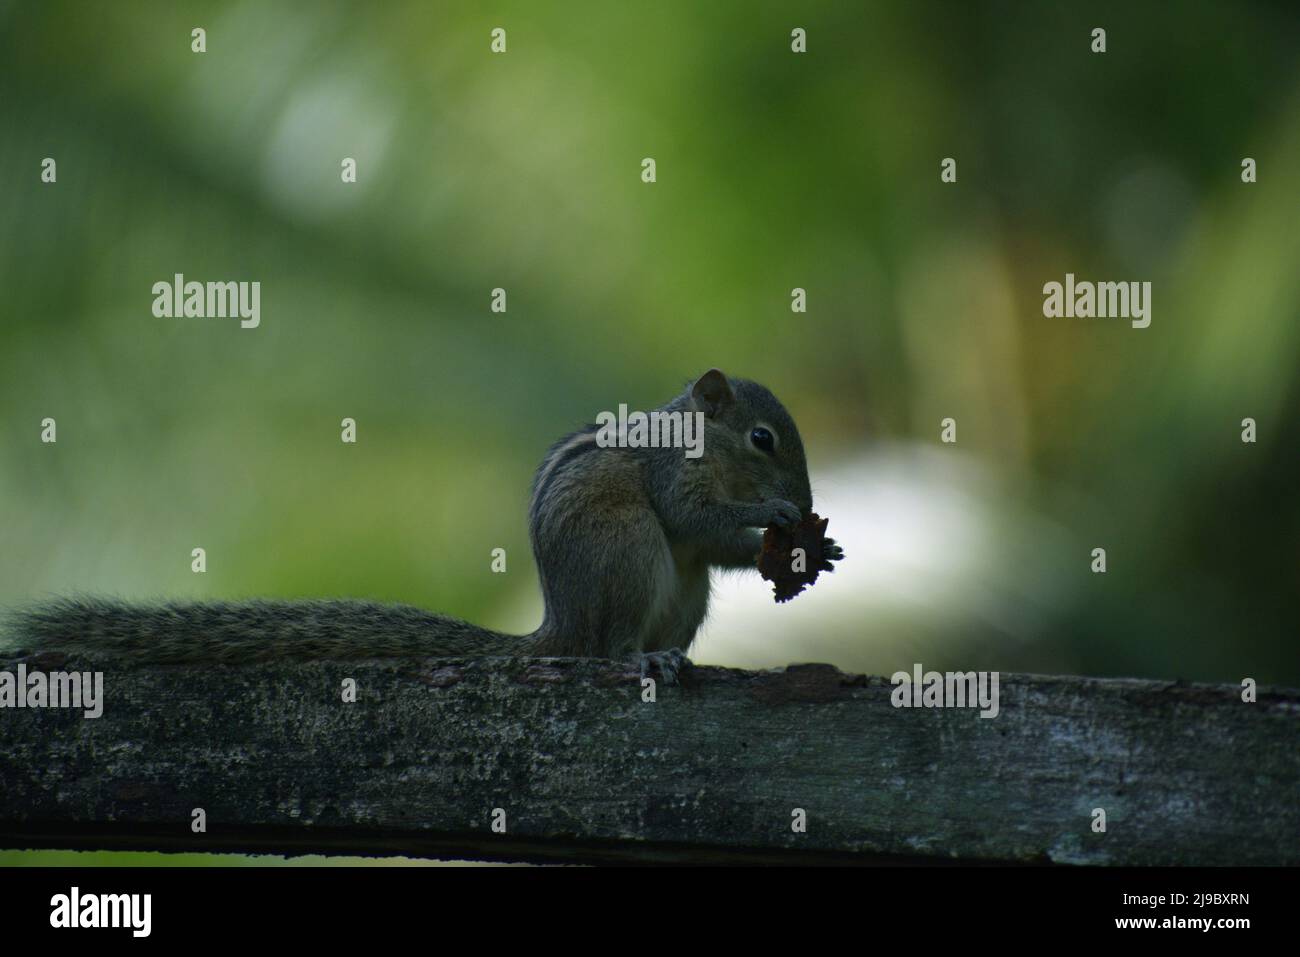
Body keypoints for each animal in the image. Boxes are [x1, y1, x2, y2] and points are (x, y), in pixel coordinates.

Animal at [5, 369, 843, 683]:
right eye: (764, 439)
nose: (804, 499)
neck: (705, 444)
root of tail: (561, 622)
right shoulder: (672, 480)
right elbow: (693, 516)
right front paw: (773, 518)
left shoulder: (703, 543)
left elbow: (716, 545)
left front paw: (812, 548)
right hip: (627, 555)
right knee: (605, 649)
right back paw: (641, 658)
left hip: (685, 595)